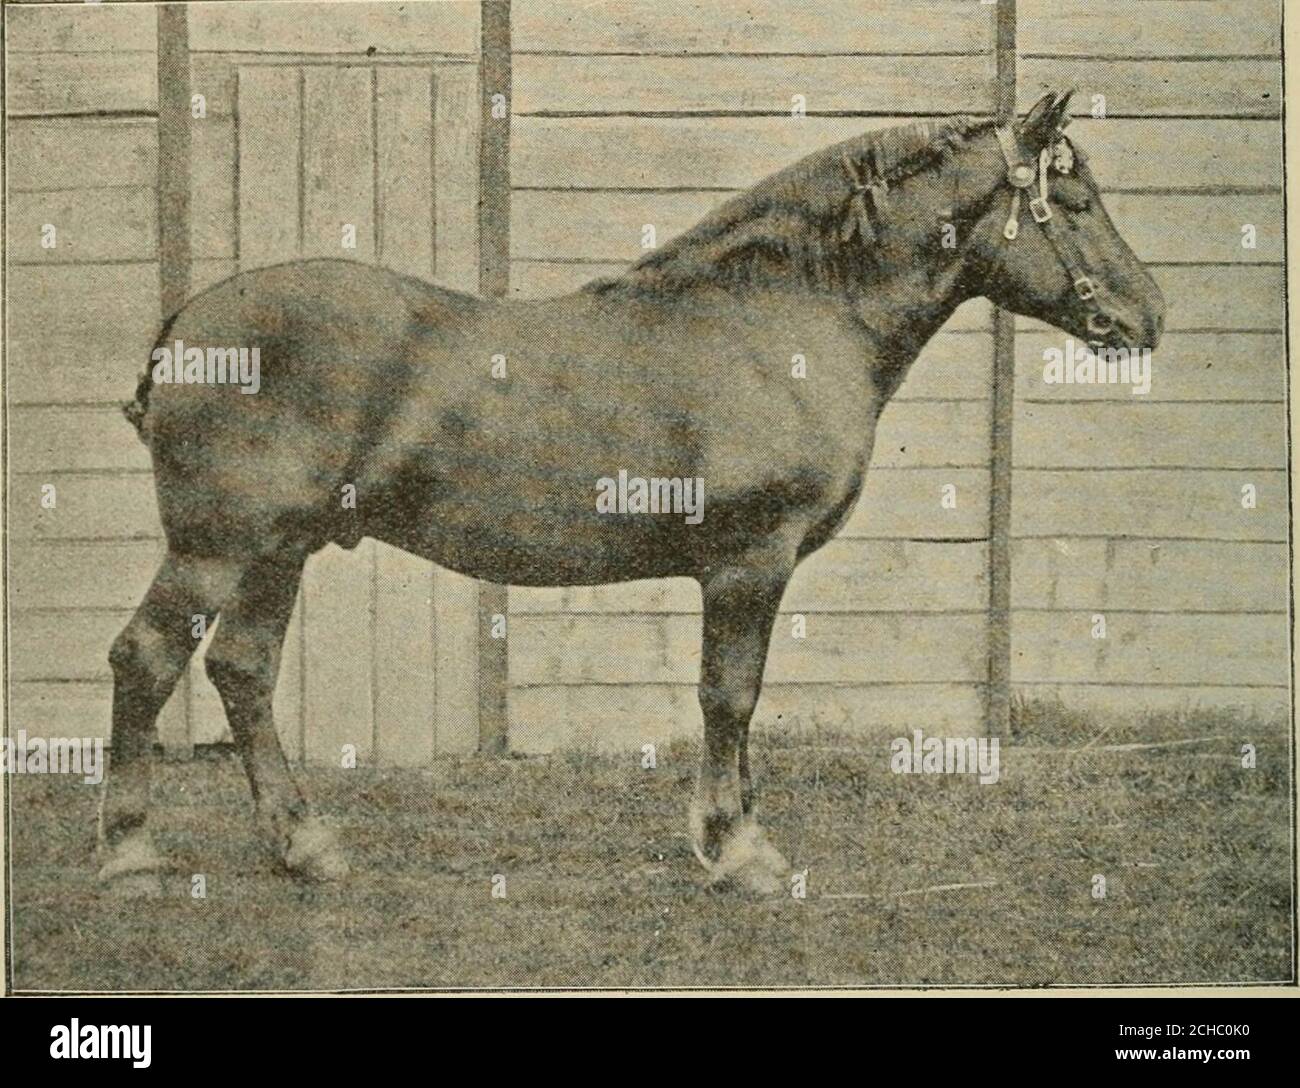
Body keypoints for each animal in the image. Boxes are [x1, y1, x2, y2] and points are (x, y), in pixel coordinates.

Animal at [99, 90, 1164, 895]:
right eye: (1074, 199)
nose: (1148, 314)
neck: (780, 322)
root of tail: (187, 322)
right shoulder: (749, 562)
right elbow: (730, 695)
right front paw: (741, 853)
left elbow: (734, 702)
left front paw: (728, 834)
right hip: (216, 548)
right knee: (146, 659)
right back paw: (132, 855)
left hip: (278, 550)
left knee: (243, 671)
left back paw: (304, 846)